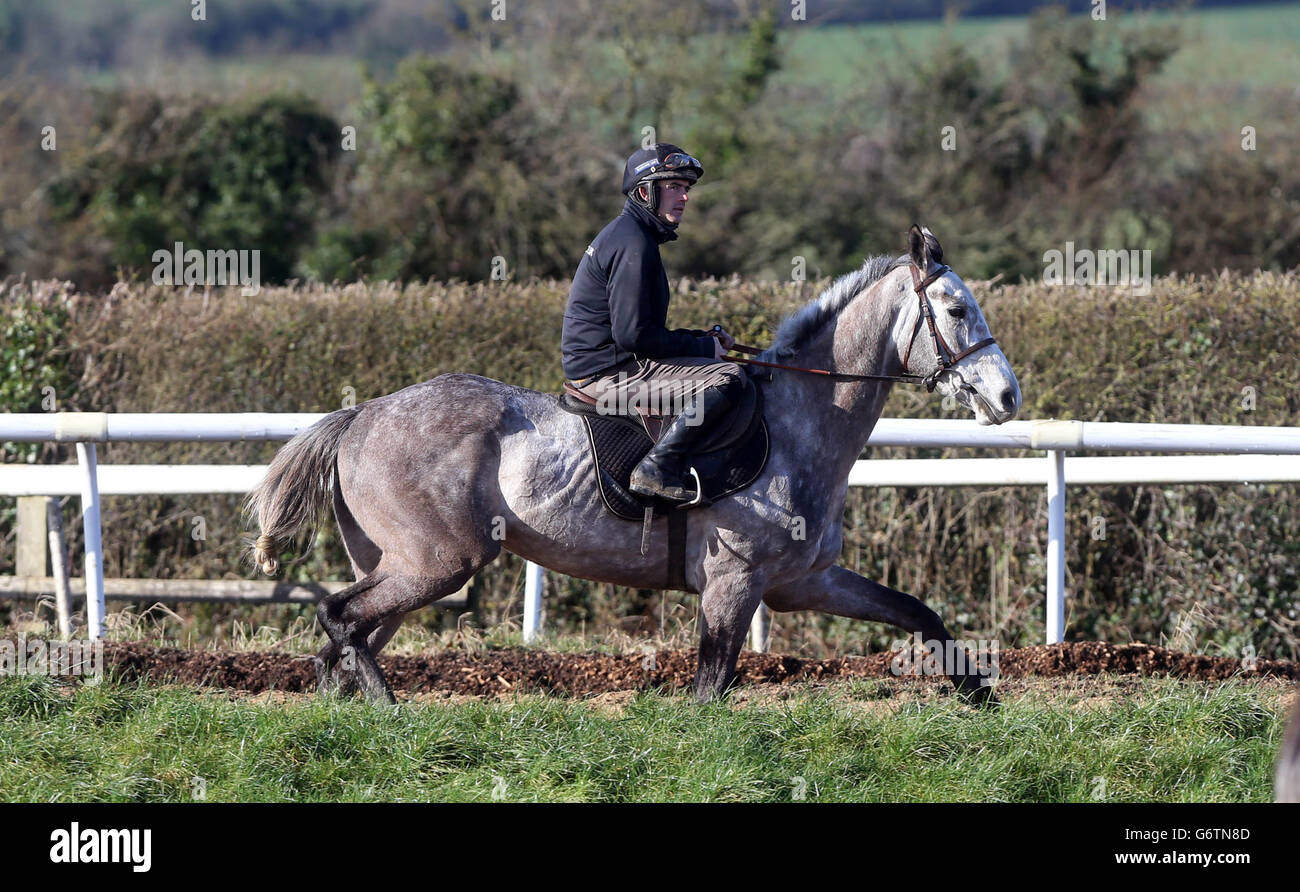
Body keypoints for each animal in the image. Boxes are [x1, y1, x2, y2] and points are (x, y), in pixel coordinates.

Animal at [246, 225, 1022, 703]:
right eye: (955, 308)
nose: (1007, 395)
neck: (802, 420)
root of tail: (362, 416)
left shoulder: (806, 582)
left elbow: (918, 612)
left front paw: (979, 696)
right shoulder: (733, 584)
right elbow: (711, 687)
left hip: (398, 564)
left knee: (345, 641)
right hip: (436, 563)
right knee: (342, 621)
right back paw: (389, 710)